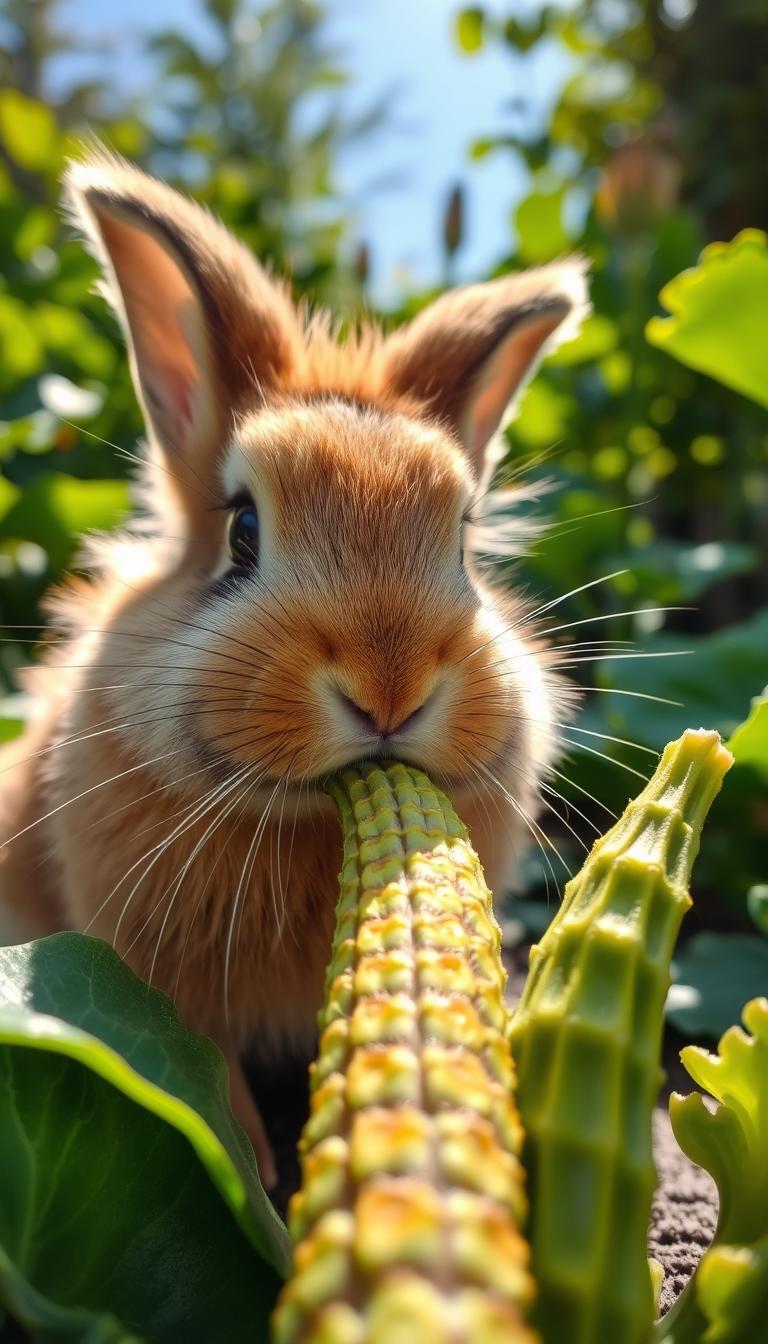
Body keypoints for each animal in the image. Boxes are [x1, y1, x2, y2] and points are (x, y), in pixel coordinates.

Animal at [0, 152, 587, 1187]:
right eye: (242, 531)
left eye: (463, 541)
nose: (388, 690)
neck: (308, 821)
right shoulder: (155, 967)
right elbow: (205, 1055)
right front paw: (259, 1168)